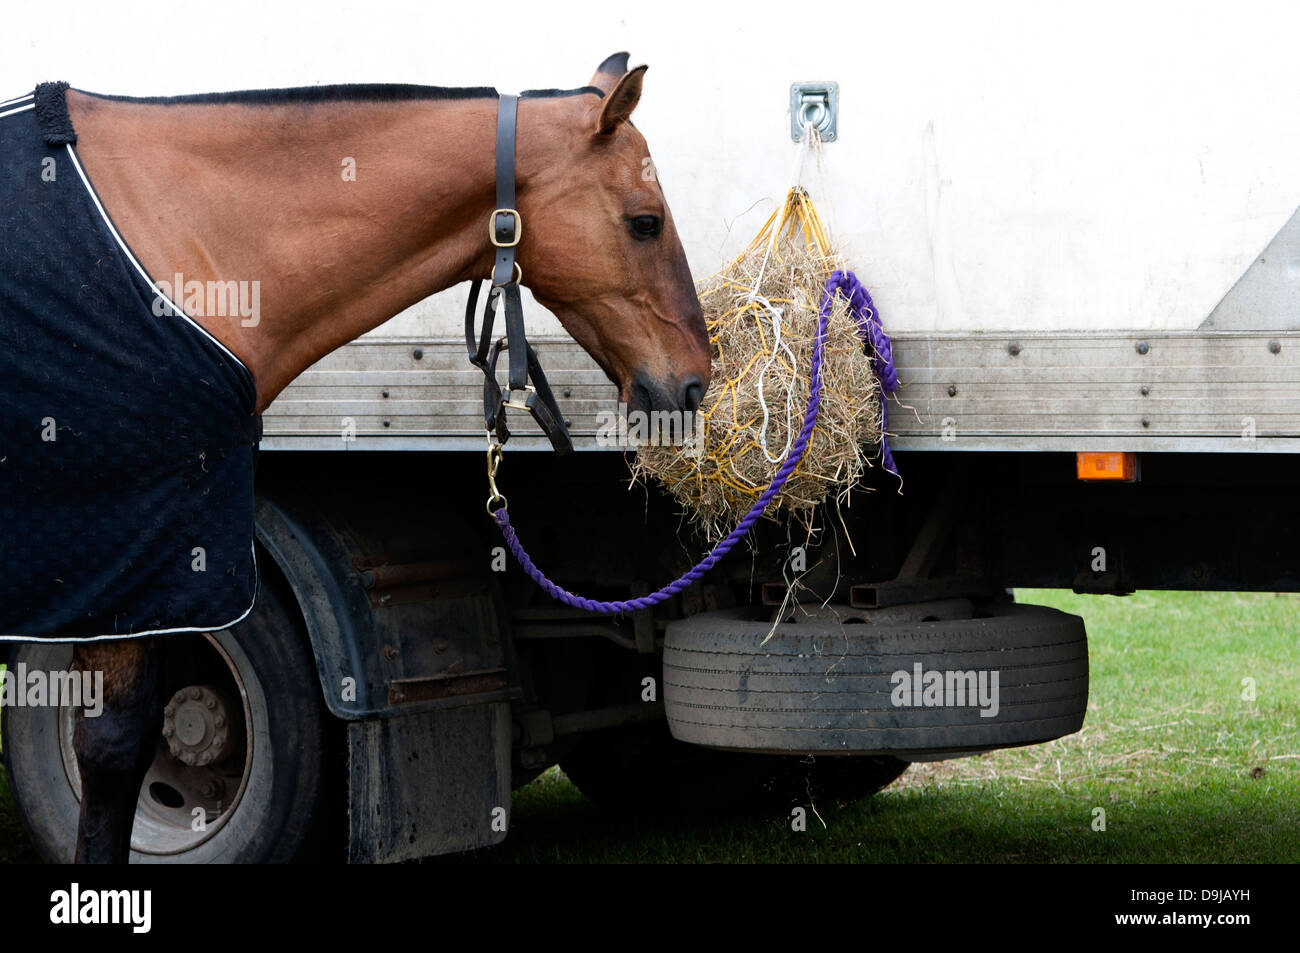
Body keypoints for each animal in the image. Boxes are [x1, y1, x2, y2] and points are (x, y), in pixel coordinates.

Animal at [4, 52, 710, 862]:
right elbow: (112, 754)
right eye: (645, 222)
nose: (695, 382)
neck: (177, 246)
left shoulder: (157, 565)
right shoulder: (123, 565)